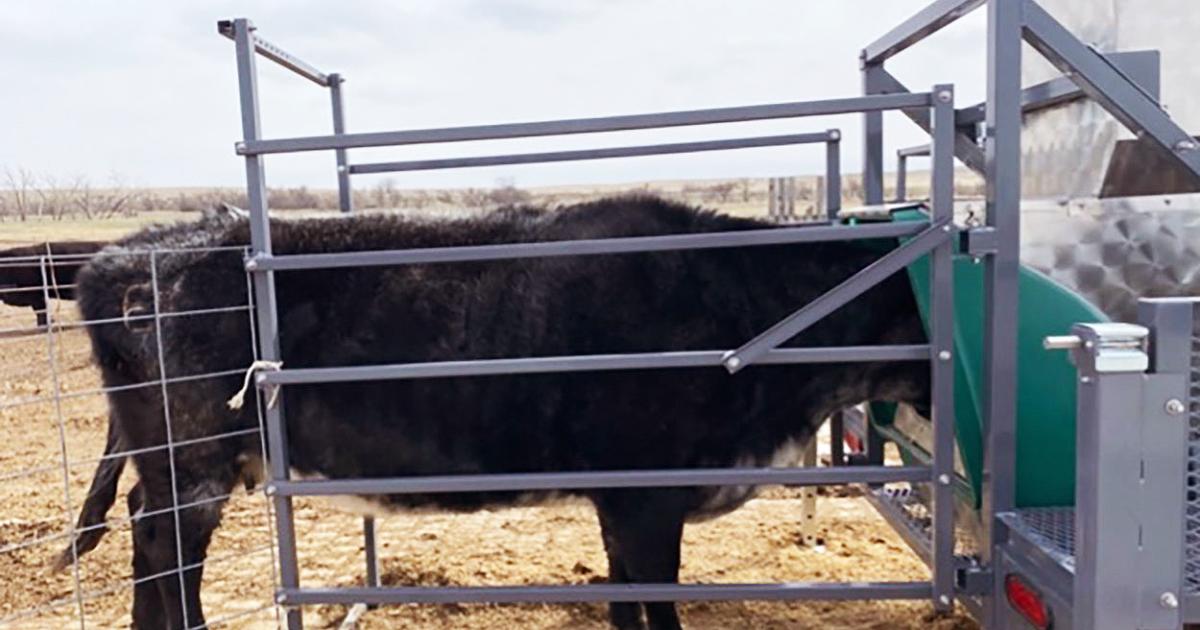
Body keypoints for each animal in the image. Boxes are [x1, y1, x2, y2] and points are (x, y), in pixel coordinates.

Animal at [60, 196, 930, 630]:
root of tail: (123, 256)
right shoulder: (647, 496)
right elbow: (654, 603)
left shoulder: (624, 501)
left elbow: (625, 600)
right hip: (193, 457)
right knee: (166, 546)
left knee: (143, 529)